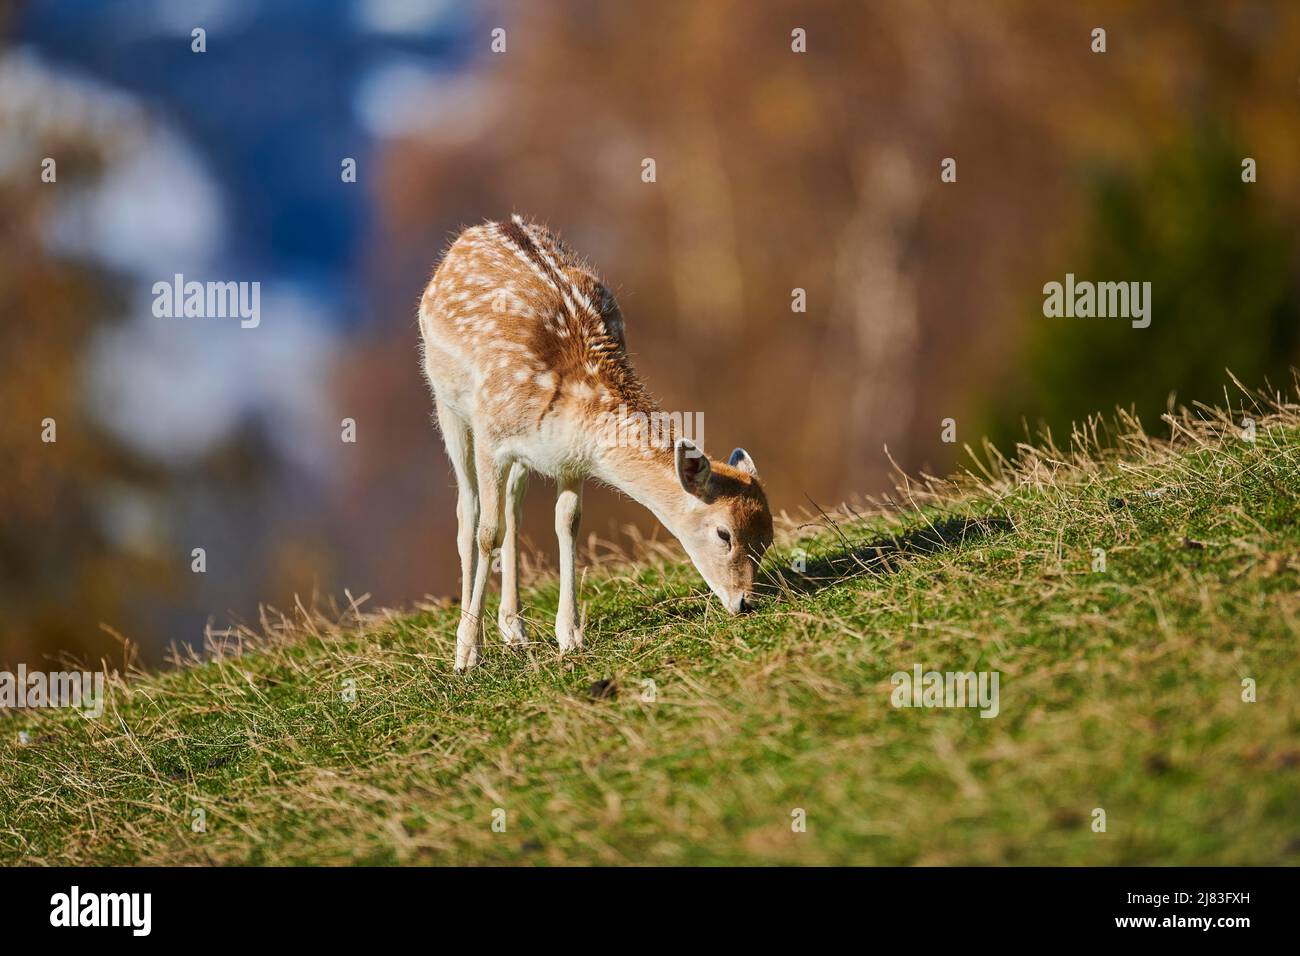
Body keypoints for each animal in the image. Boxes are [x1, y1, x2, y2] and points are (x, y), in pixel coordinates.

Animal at [419, 216, 774, 671]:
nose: (746, 602)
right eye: (723, 533)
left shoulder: (568, 458)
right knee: (468, 513)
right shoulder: (490, 433)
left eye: (768, 538)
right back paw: (470, 638)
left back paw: (514, 629)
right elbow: (487, 533)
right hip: (446, 402)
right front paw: (467, 653)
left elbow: (567, 522)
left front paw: (570, 636)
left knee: (514, 508)